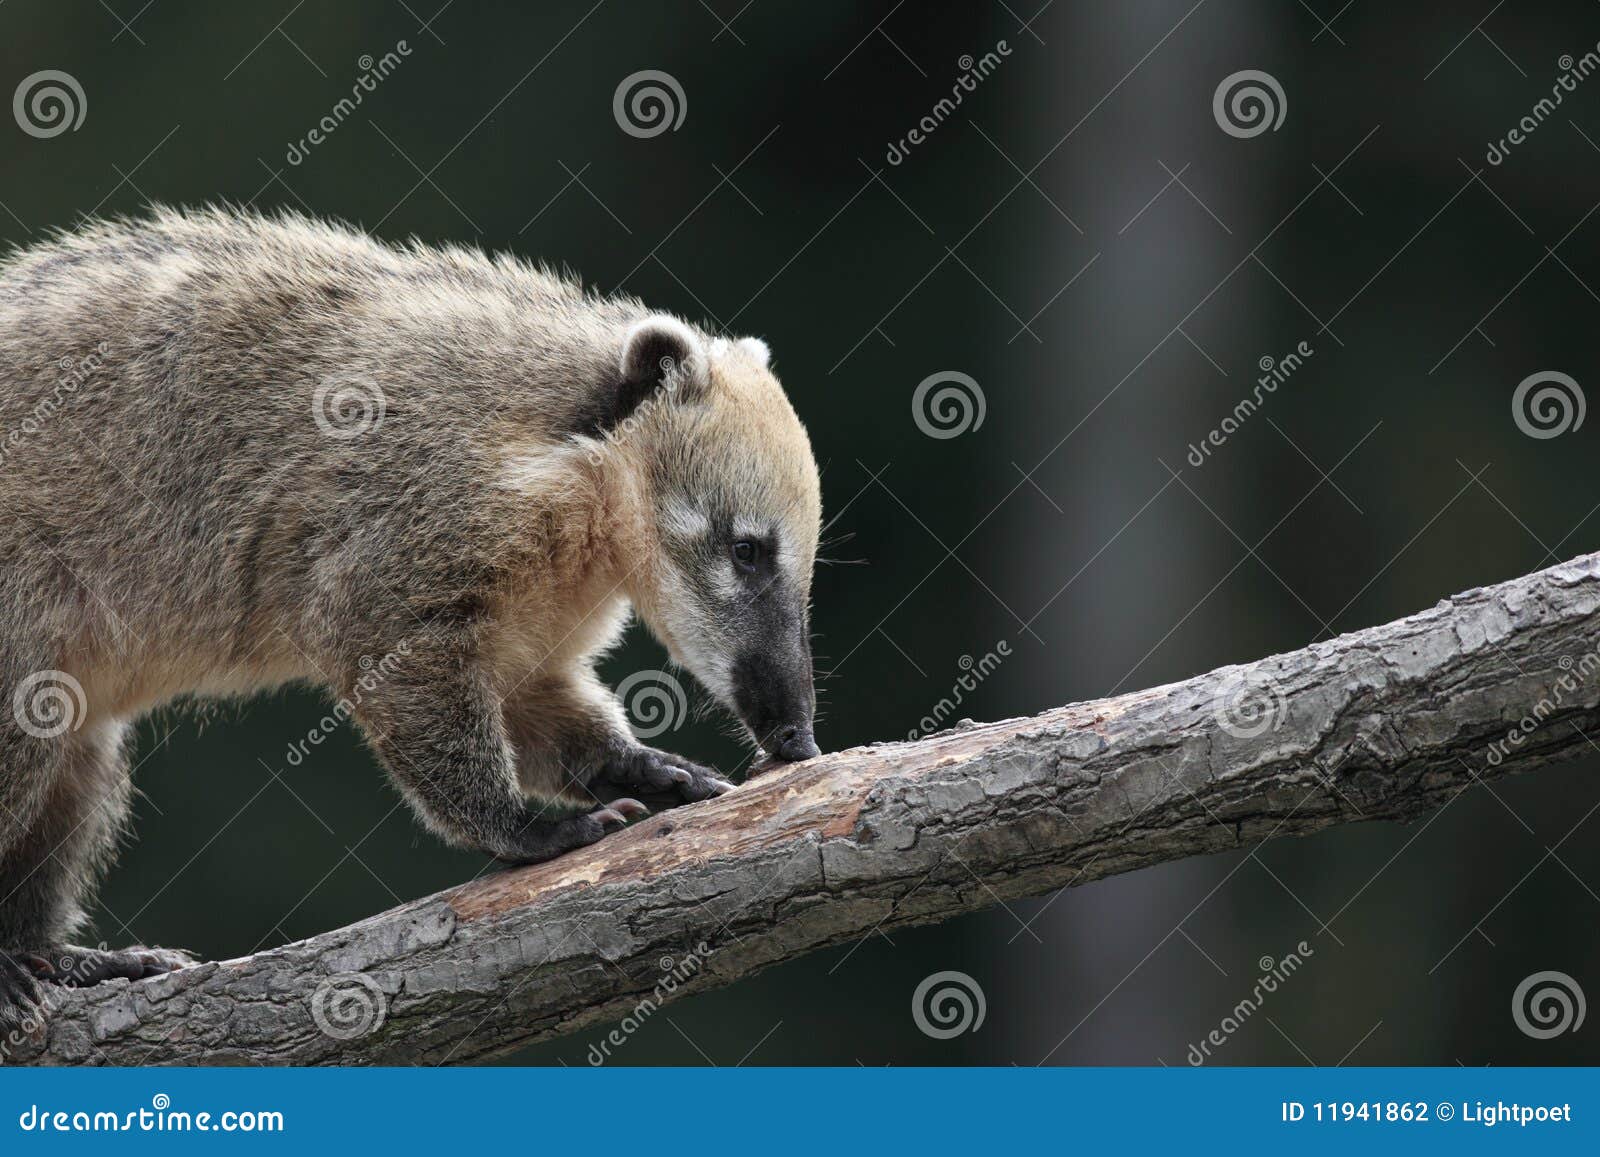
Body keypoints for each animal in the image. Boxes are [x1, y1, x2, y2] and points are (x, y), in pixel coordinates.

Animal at [0, 208, 822, 1026]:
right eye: (747, 550)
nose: (796, 738)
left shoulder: (542, 596)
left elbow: (528, 690)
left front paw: (638, 763)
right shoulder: (417, 504)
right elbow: (388, 652)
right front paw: (523, 825)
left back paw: (57, 952)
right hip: (24, 601)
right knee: (26, 735)